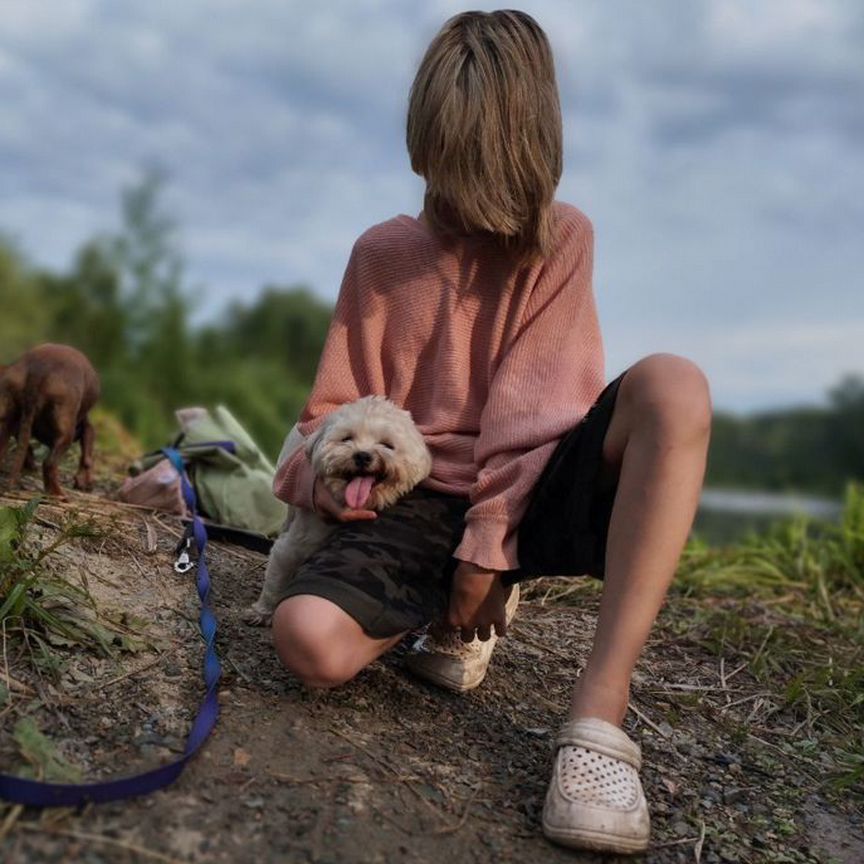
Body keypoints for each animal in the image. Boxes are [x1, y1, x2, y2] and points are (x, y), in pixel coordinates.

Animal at [0, 342, 101, 496]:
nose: (90, 487)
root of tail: (38, 370)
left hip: (9, 420)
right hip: (66, 434)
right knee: (49, 464)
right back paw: (58, 493)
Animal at [243, 394, 432, 624]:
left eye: (387, 444)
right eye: (346, 438)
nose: (363, 455)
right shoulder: (291, 548)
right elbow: (276, 579)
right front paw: (262, 612)